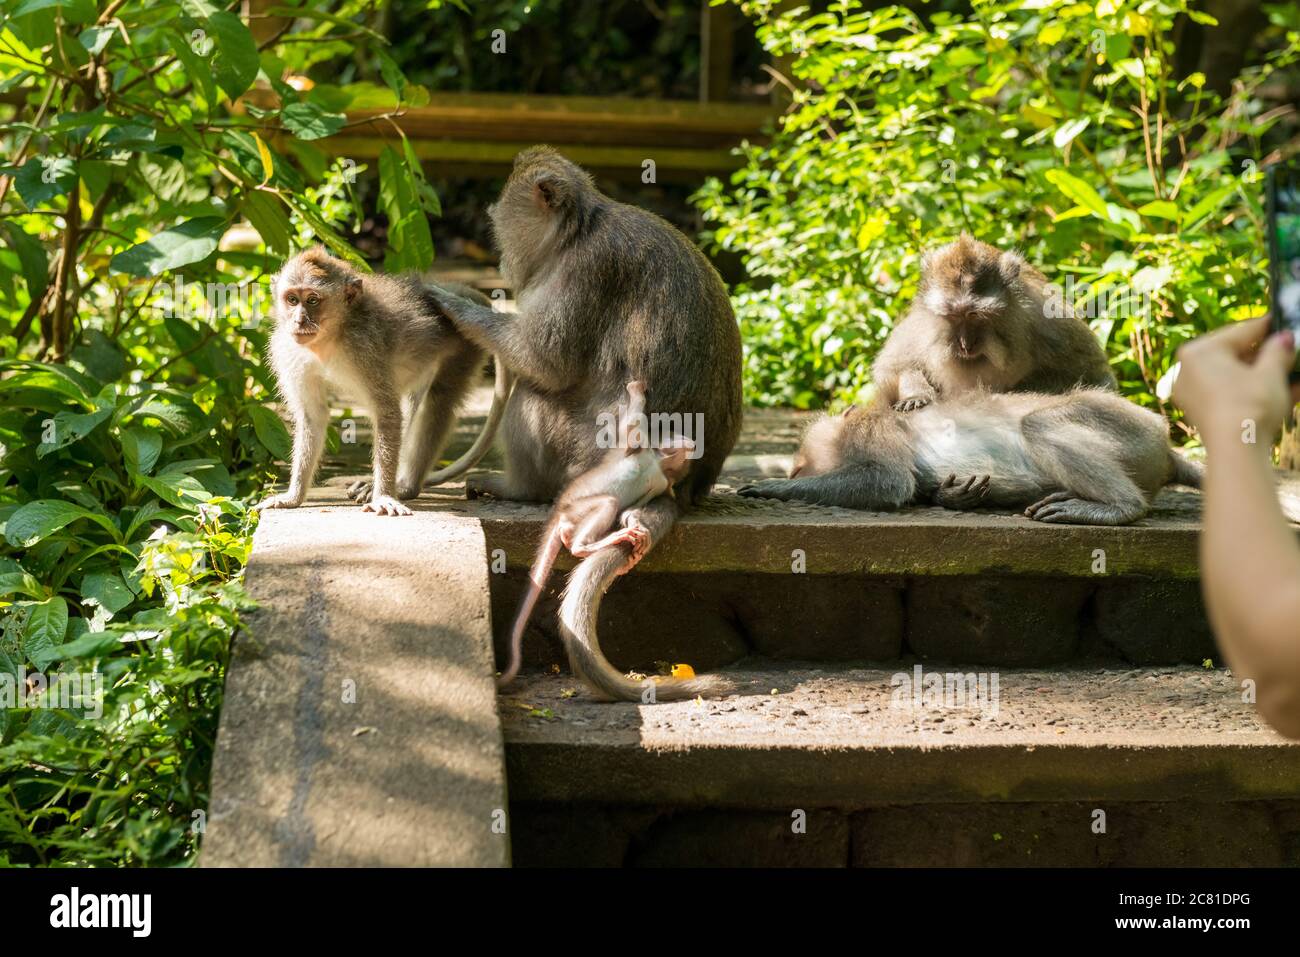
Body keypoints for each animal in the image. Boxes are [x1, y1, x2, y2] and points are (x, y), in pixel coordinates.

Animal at [256, 247, 513, 516]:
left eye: (313, 300)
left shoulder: (366, 346)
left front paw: (384, 497)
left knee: (439, 400)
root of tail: (464, 292)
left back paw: (406, 487)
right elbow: (312, 416)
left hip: (465, 348)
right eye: (292, 300)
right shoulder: (288, 351)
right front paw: (293, 496)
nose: (299, 320)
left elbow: (387, 411)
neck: (331, 336)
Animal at [497, 380, 695, 689]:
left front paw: (636, 523)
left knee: (604, 511)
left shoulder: (661, 483)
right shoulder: (638, 449)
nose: (692, 443)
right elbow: (631, 426)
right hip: (577, 508)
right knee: (606, 504)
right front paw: (636, 392)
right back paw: (585, 544)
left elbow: (634, 508)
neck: (658, 465)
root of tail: (558, 513)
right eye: (676, 433)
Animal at [738, 388, 1202, 526]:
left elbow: (887, 480)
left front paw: (771, 487)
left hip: (1126, 425)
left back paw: (1119, 507)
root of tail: (1166, 447)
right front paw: (954, 495)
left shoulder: (869, 430)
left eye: (800, 467)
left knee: (1040, 424)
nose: (795, 471)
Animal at [872, 234, 1116, 412]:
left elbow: (1096, 375)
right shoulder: (921, 322)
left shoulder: (1048, 323)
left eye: (974, 314)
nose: (966, 344)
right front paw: (917, 395)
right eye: (953, 315)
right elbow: (896, 366)